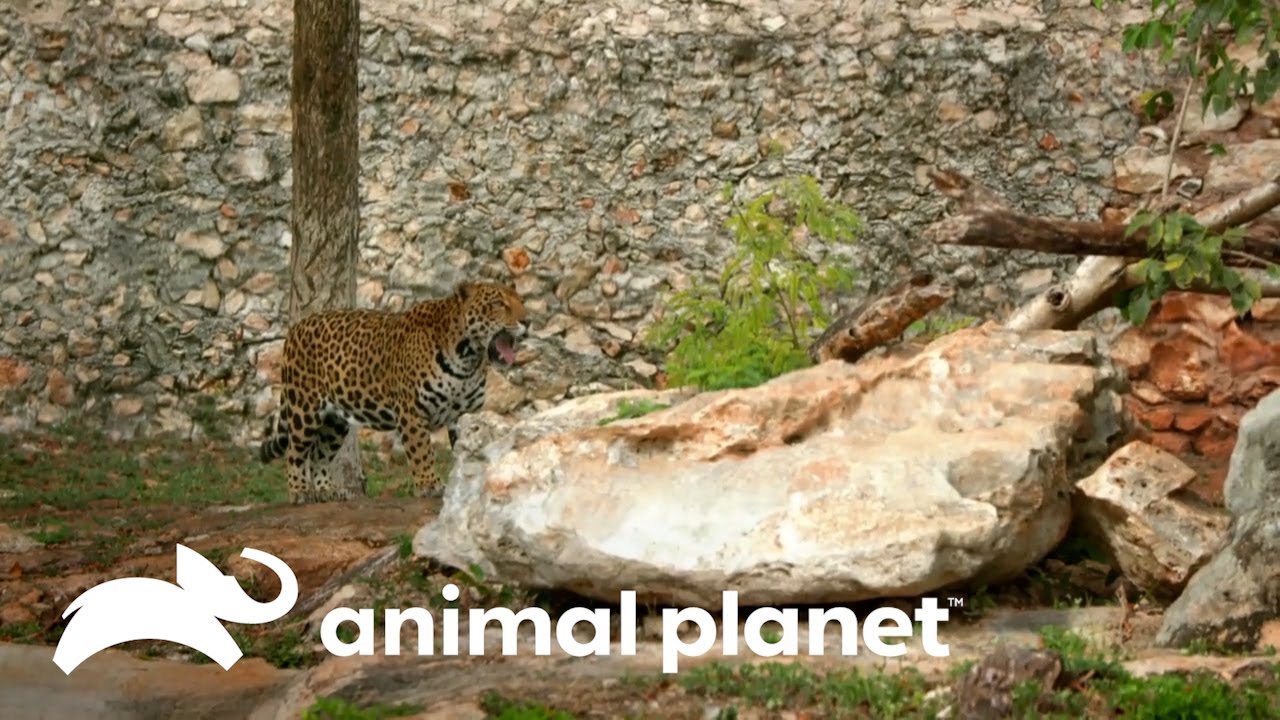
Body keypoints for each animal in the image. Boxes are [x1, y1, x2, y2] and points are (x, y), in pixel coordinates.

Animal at [258, 280, 528, 504]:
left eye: (520, 301)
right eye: (498, 304)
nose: (528, 321)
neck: (467, 358)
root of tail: (296, 327)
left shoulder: (465, 416)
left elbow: (470, 450)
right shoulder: (412, 412)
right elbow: (422, 451)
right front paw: (429, 485)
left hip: (335, 421)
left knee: (319, 454)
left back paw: (327, 490)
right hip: (305, 409)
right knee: (295, 452)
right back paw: (299, 491)